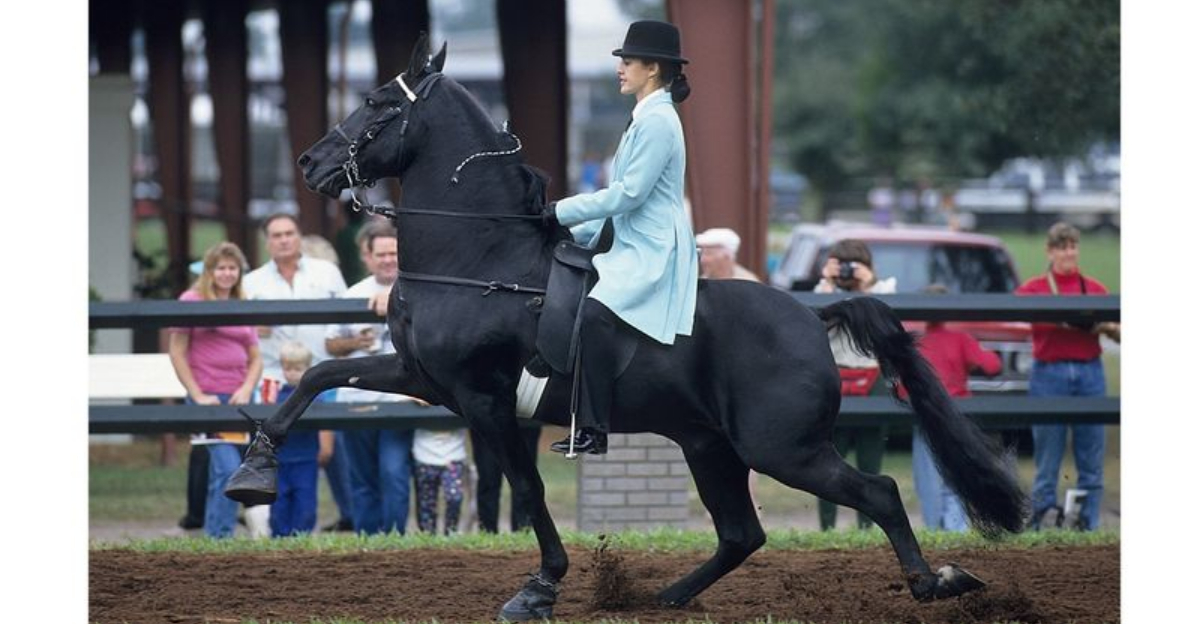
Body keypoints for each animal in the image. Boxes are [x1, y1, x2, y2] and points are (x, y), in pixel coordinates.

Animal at [224, 35, 1027, 621]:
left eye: (376, 102)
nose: (310, 162)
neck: (478, 257)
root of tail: (810, 313)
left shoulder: (484, 402)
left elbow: (528, 491)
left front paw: (539, 589)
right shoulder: (424, 377)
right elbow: (319, 375)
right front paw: (252, 473)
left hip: (783, 448)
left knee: (878, 493)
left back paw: (935, 582)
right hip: (712, 447)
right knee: (743, 532)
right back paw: (660, 597)